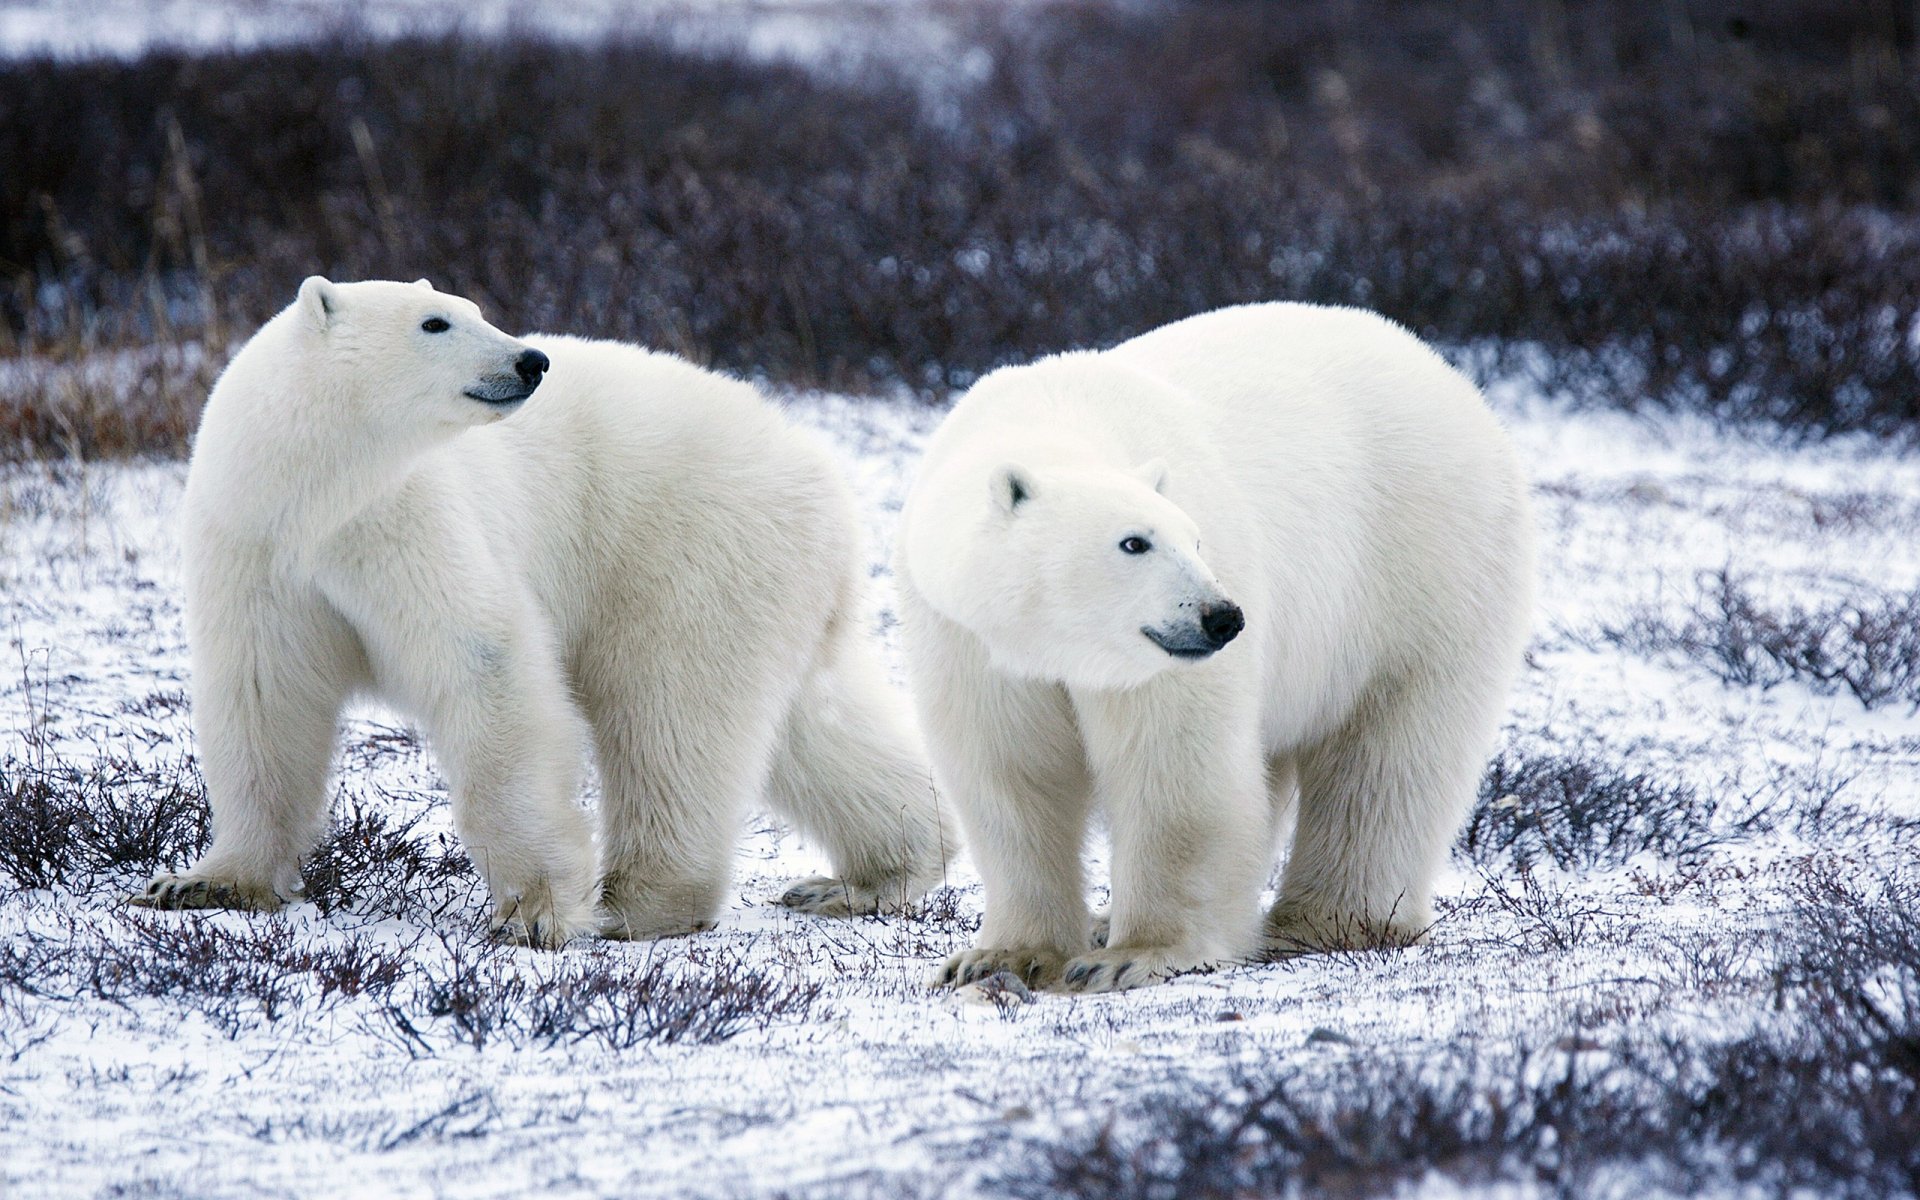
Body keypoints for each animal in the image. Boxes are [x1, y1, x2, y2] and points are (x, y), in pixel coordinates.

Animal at [133, 277, 953, 946]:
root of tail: (822, 472)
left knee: (669, 713)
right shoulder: (257, 547)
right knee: (808, 723)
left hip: (688, 548)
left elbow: (486, 665)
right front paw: (203, 882)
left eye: (474, 308)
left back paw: (639, 903)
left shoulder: (407, 521)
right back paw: (871, 875)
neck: (317, 494)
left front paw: (535, 912)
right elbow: (263, 697)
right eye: (436, 321)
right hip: (768, 579)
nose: (531, 361)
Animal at [898, 301, 1534, 993]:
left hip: (1422, 567)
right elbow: (1010, 773)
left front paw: (1132, 955)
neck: (1056, 417)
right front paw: (1000, 956)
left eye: (1195, 539)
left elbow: (1176, 769)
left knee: (1388, 757)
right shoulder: (969, 638)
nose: (1222, 618)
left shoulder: (1159, 664)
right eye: (1134, 542)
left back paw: (1326, 921)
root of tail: (1449, 375)